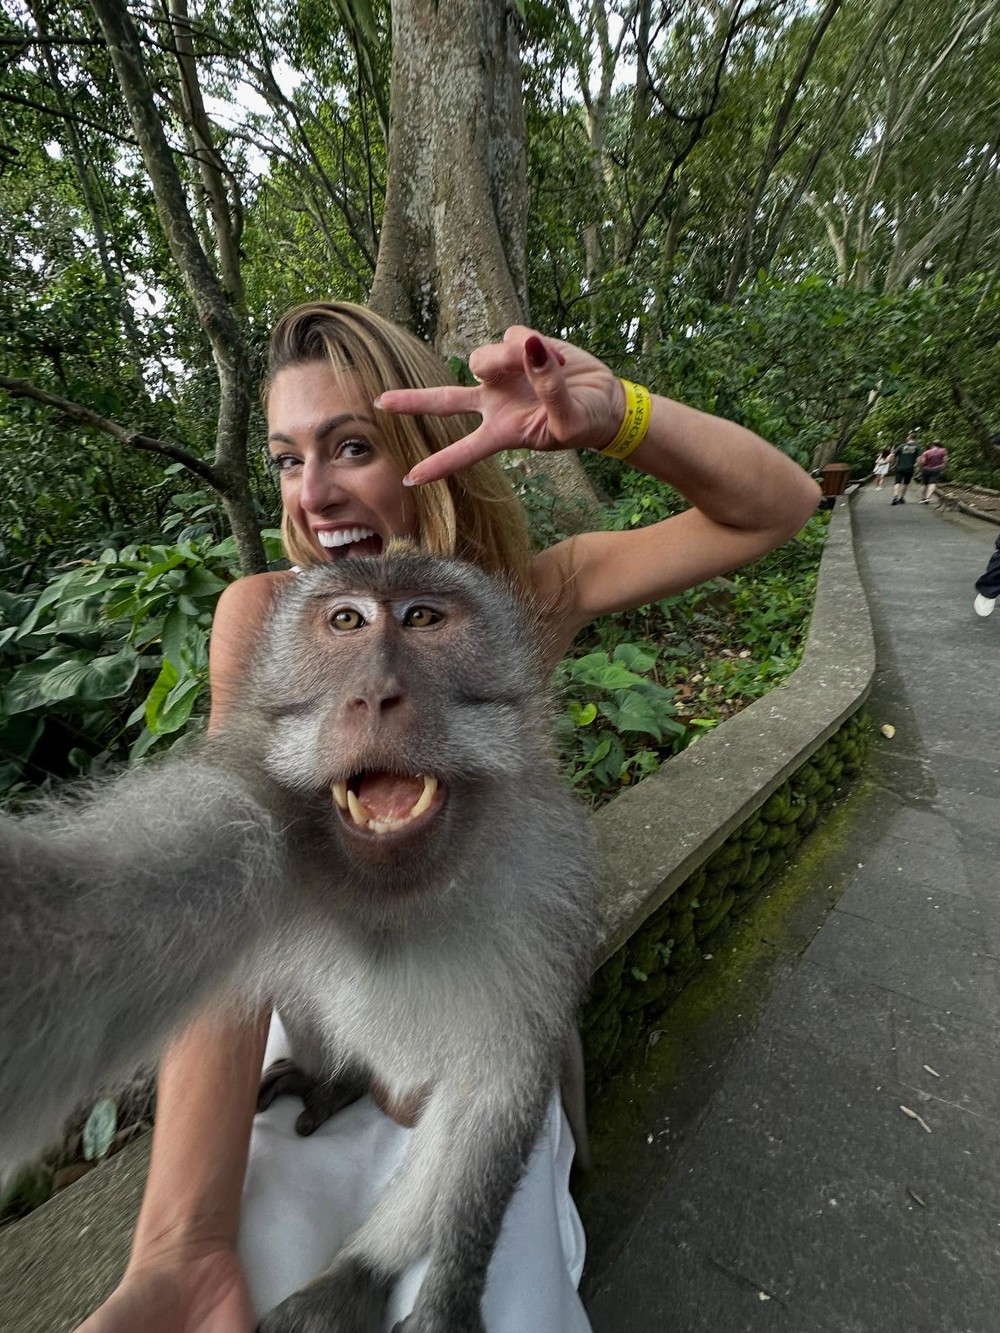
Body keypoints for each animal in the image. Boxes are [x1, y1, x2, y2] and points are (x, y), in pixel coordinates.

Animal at [0, 548, 599, 1333]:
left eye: (423, 617)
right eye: (346, 620)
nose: (375, 694)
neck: (392, 896)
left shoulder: (543, 881)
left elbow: (502, 1078)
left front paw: (448, 1293)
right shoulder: (248, 818)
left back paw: (362, 1269)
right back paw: (336, 1085)